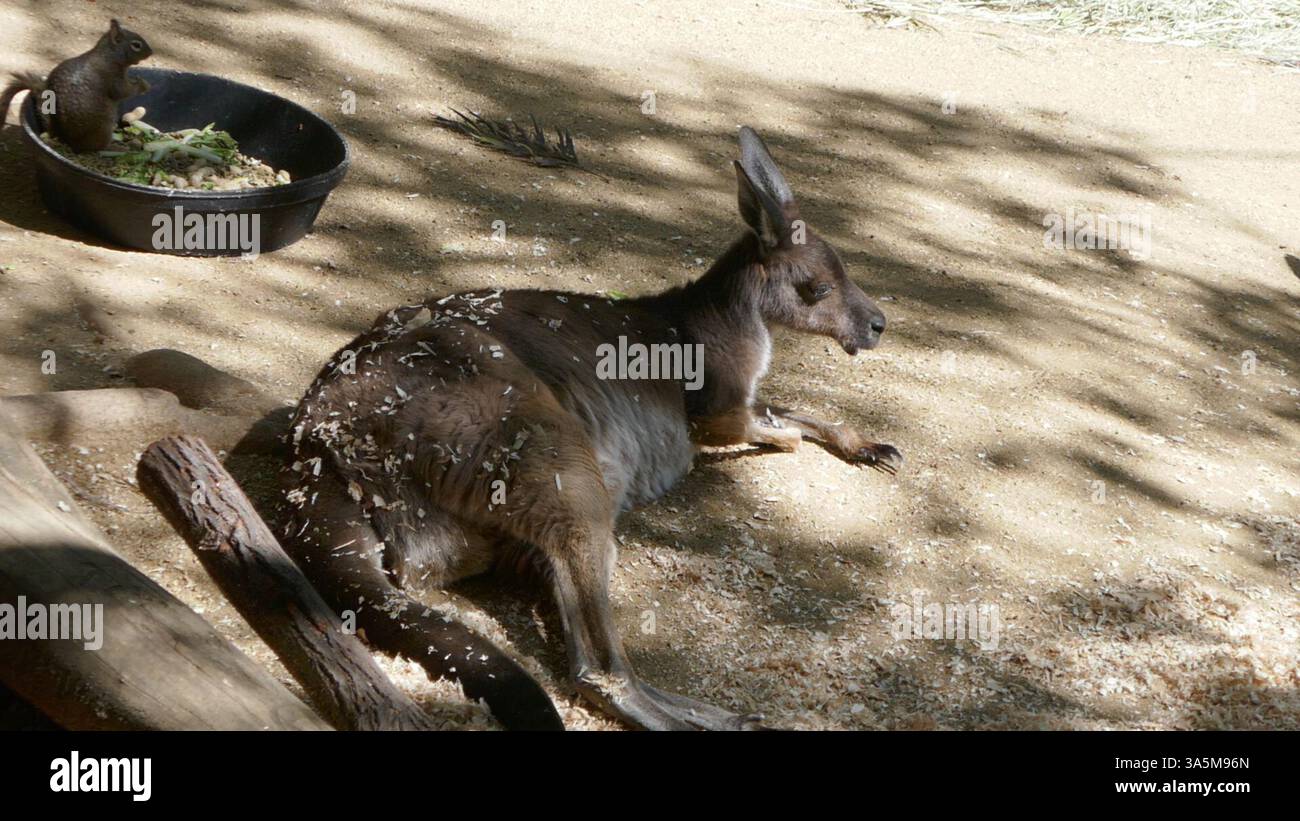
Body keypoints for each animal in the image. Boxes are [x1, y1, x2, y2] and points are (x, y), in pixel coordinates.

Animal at [0, 19, 153, 152]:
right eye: (136, 45)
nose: (151, 52)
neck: (108, 55)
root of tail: (63, 138)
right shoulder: (111, 77)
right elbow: (122, 92)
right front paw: (142, 85)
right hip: (103, 127)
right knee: (95, 149)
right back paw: (115, 147)